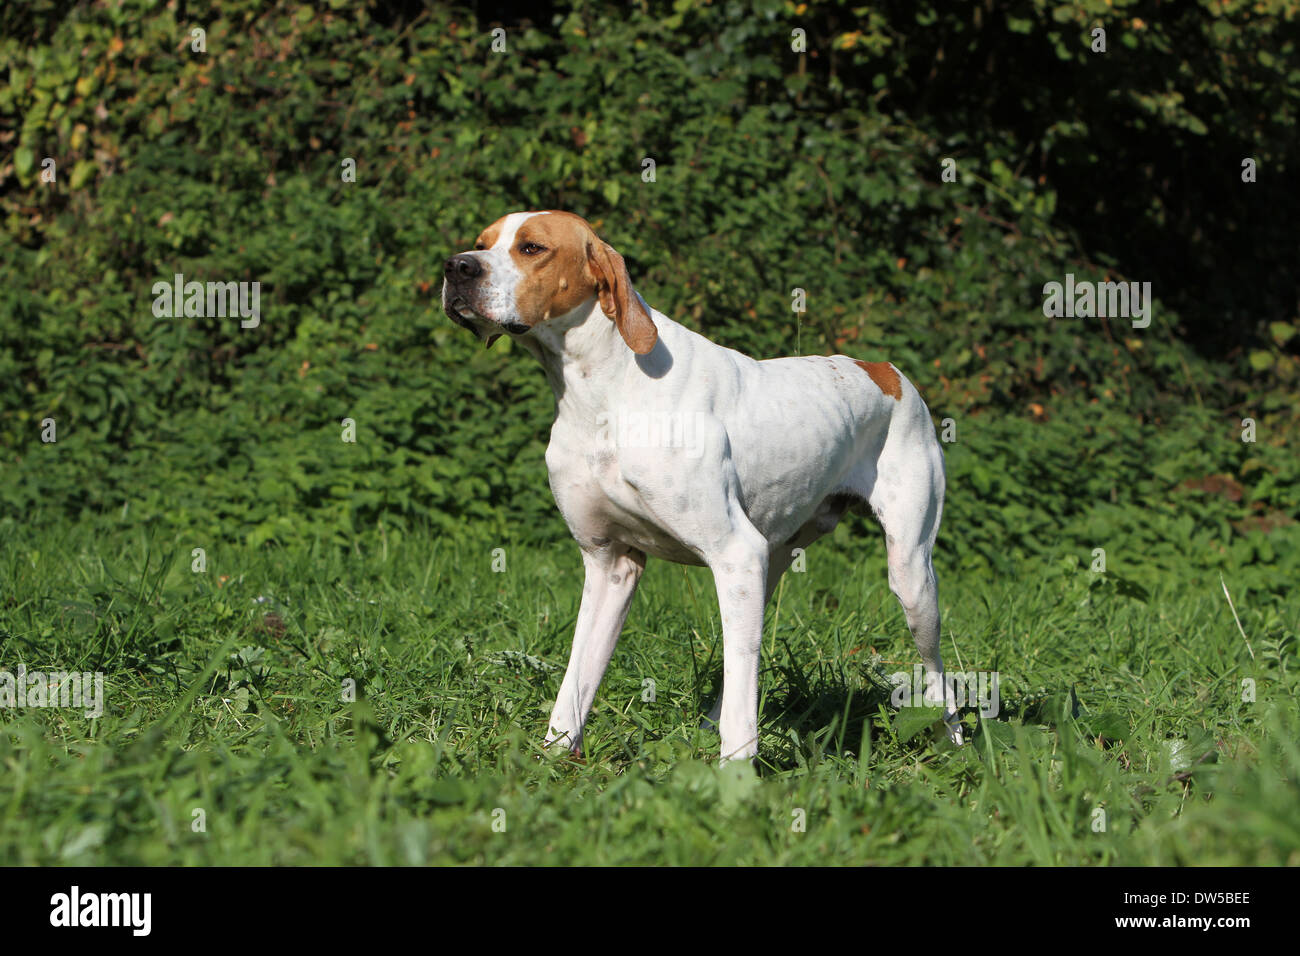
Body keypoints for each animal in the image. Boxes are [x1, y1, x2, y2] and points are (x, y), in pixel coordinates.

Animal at [441, 209, 961, 764]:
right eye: (481, 243)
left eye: (532, 248)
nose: (457, 267)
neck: (602, 393)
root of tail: (888, 372)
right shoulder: (611, 564)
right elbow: (575, 682)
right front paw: (554, 759)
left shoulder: (734, 552)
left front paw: (734, 775)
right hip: (769, 564)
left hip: (908, 578)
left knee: (938, 677)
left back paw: (953, 743)